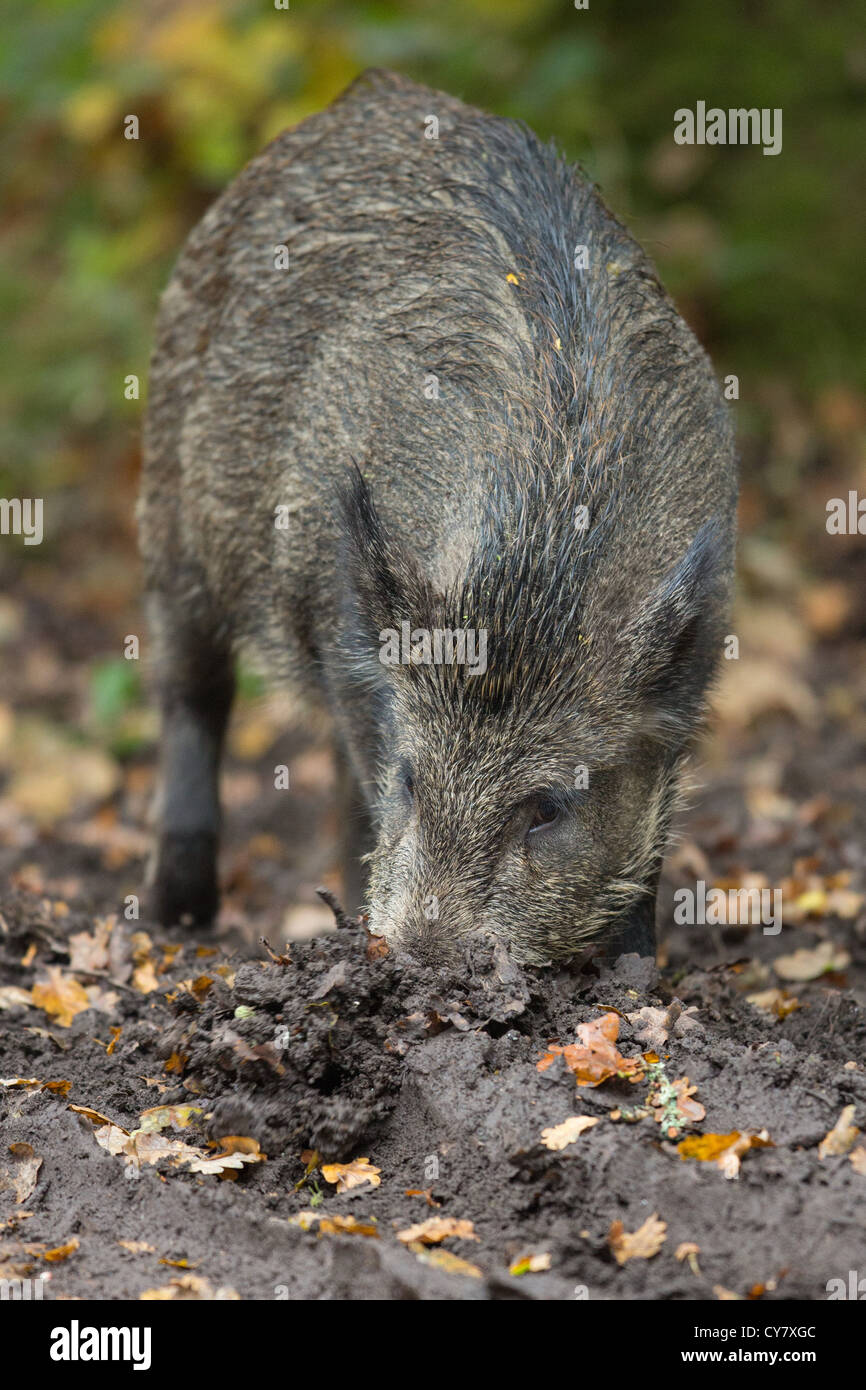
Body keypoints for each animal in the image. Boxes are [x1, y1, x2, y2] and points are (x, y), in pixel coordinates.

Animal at [138, 69, 737, 964]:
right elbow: (363, 780)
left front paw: (634, 970)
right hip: (172, 517)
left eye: (548, 807)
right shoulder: (348, 637)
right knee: (193, 693)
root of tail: (374, 91)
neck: (540, 561)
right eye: (415, 780)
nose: (424, 956)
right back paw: (177, 914)